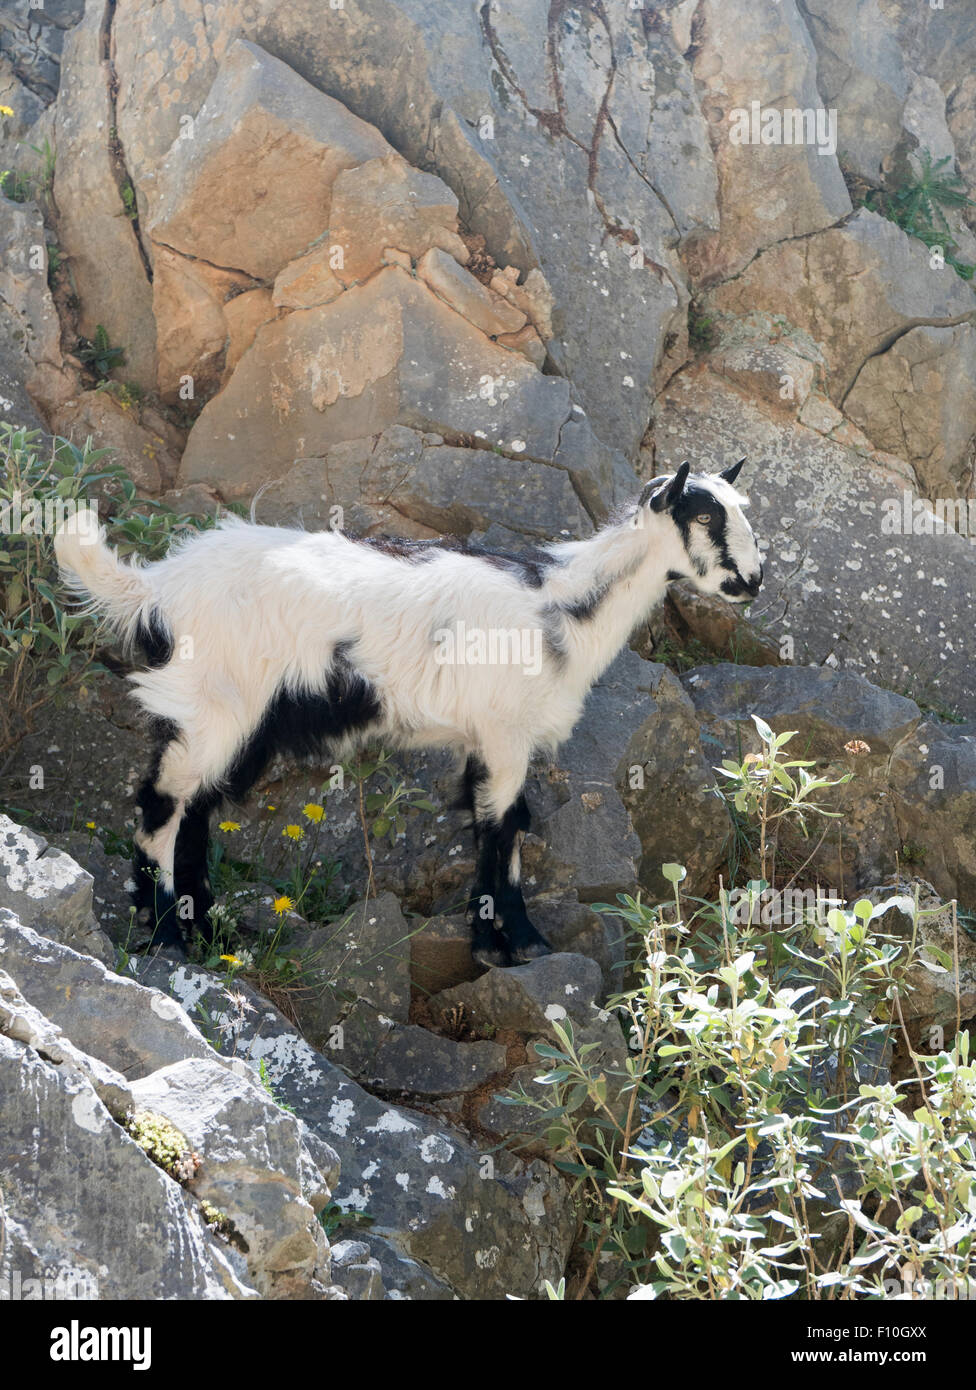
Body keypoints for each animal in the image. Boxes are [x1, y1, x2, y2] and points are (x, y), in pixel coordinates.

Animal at [54, 460, 763, 966]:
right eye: (704, 515)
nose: (753, 583)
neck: (560, 604)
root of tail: (156, 589)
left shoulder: (487, 737)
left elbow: (491, 823)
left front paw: (491, 940)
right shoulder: (506, 731)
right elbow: (508, 824)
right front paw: (521, 942)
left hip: (242, 720)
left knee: (198, 810)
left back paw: (203, 928)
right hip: (211, 702)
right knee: (162, 805)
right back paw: (166, 938)